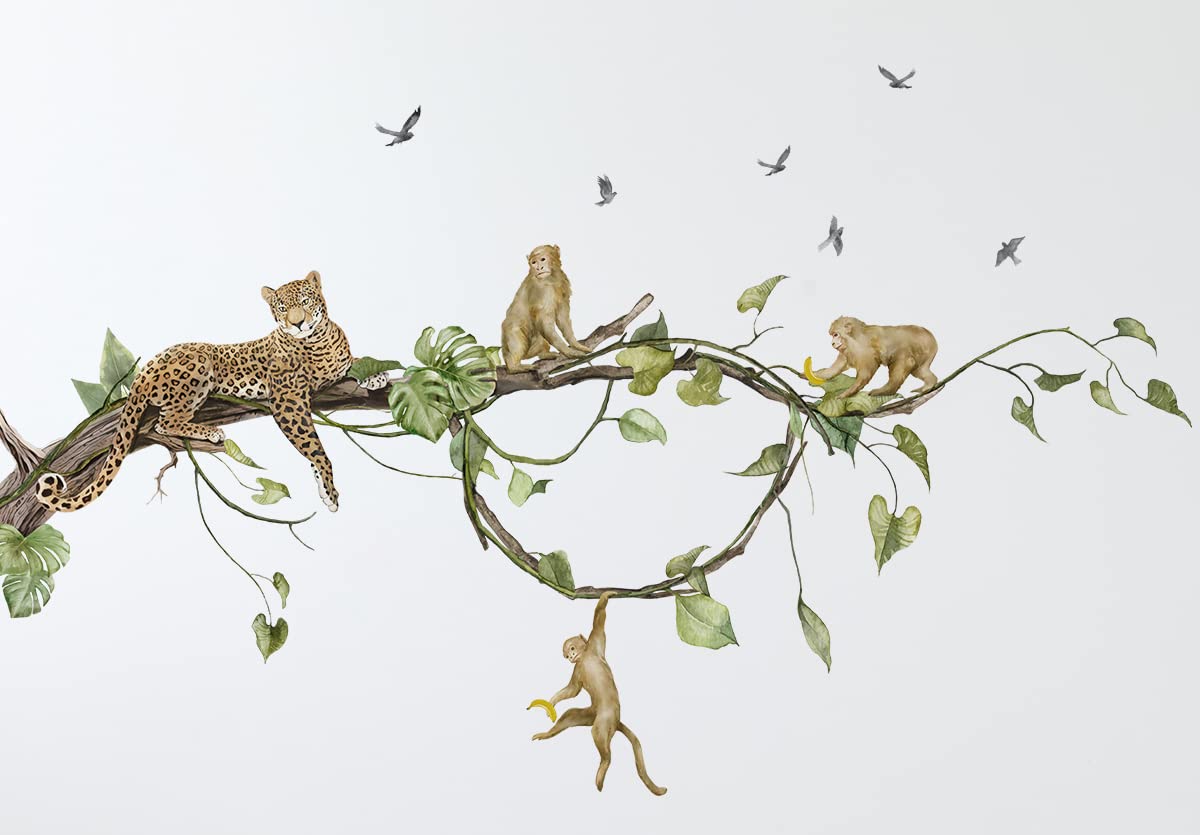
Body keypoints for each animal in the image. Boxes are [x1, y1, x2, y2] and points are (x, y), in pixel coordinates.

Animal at [35, 270, 390, 514]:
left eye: (304, 301)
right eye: (281, 307)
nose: (298, 323)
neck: (319, 339)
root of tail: (143, 372)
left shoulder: (338, 364)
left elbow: (356, 363)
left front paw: (378, 375)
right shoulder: (287, 399)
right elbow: (314, 447)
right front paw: (329, 491)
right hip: (197, 367)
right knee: (166, 421)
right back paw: (212, 432)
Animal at [500, 244, 591, 374]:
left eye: (542, 259)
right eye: (533, 262)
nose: (539, 268)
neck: (551, 279)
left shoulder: (562, 284)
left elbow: (562, 317)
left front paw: (576, 345)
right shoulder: (542, 291)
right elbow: (544, 321)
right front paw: (569, 352)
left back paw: (545, 354)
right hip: (511, 334)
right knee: (518, 342)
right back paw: (515, 367)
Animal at [531, 592, 668, 796]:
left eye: (572, 648)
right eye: (566, 654)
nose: (570, 657)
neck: (585, 656)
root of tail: (616, 721)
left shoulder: (595, 644)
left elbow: (599, 621)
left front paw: (606, 595)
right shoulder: (578, 669)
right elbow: (573, 690)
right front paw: (552, 702)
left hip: (606, 717)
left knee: (598, 733)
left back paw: (605, 762)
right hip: (591, 714)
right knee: (571, 716)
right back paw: (548, 734)